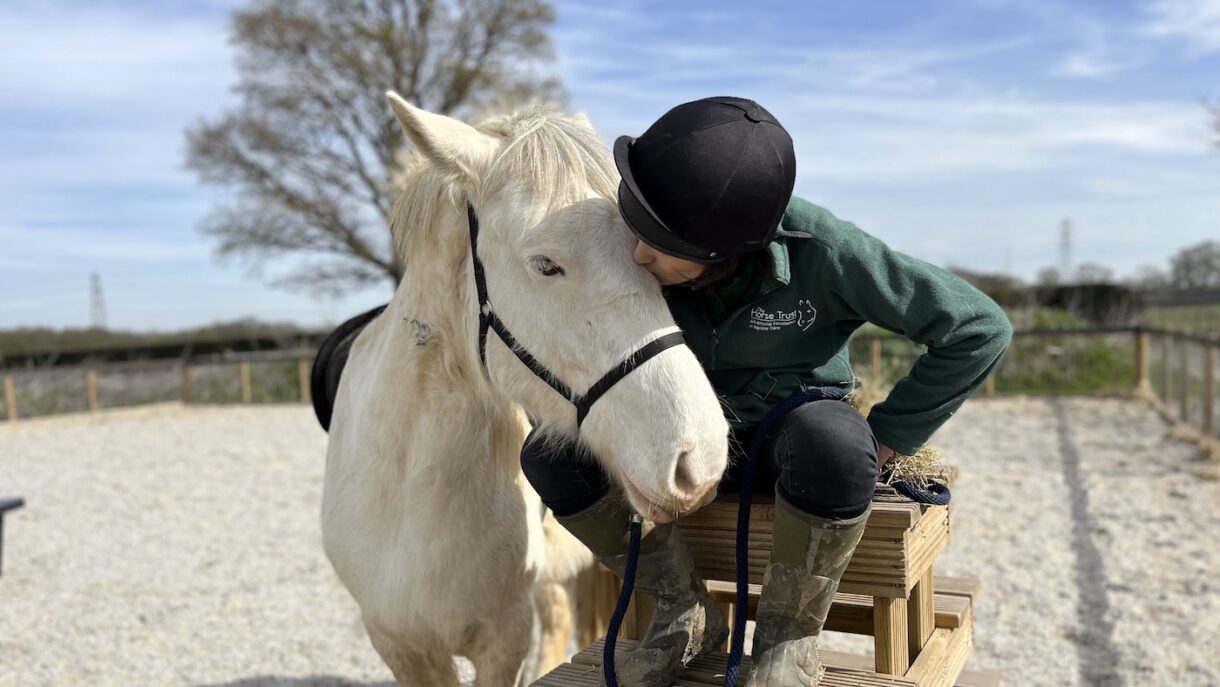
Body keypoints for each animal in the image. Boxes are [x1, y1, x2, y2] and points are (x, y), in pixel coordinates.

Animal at [319, 93, 730, 686]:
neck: (412, 496)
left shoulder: (504, 640)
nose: (700, 458)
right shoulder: (399, 645)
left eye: (648, 261)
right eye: (545, 264)